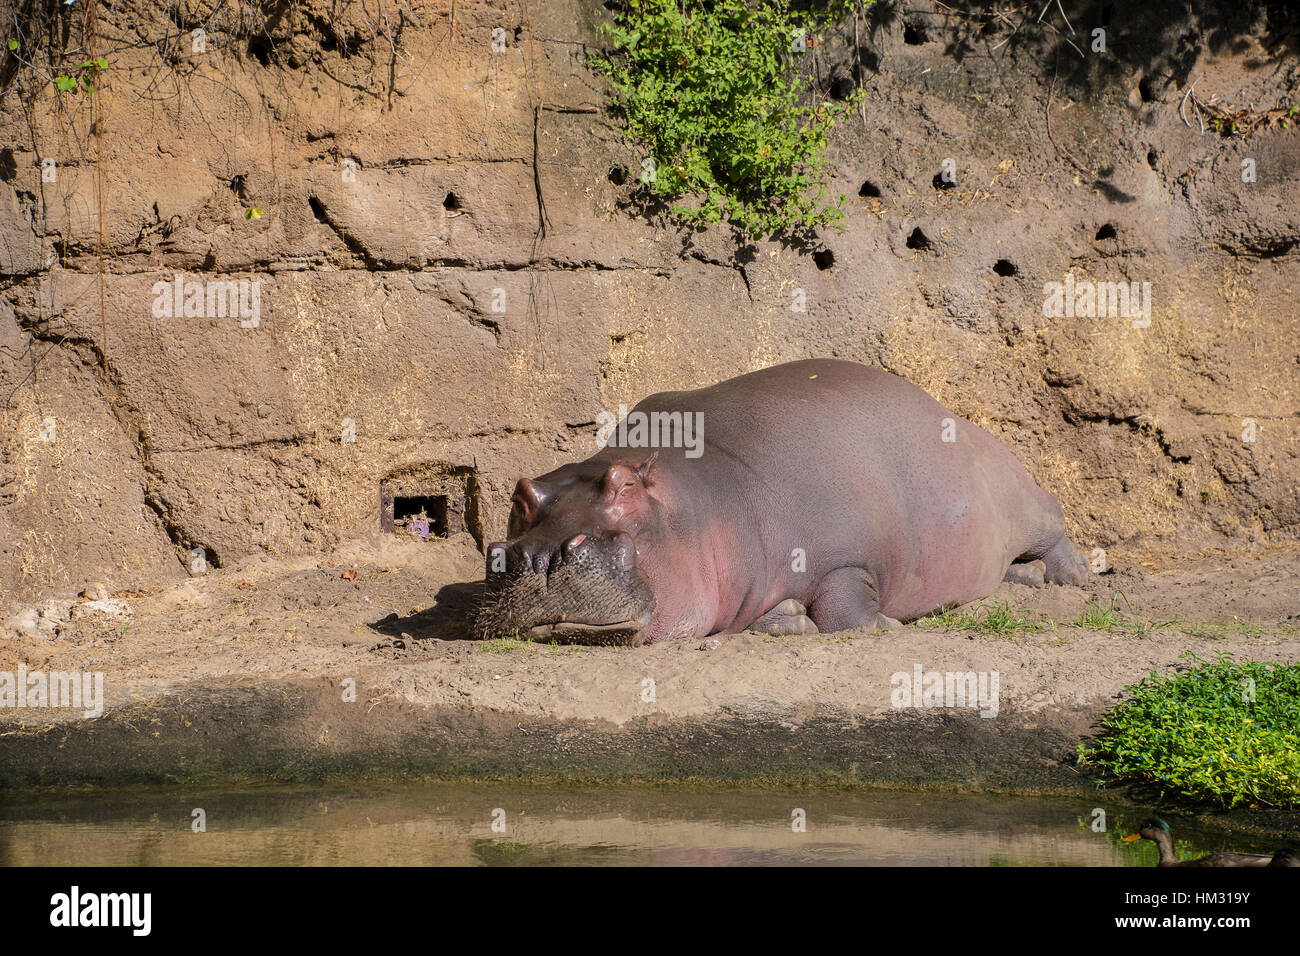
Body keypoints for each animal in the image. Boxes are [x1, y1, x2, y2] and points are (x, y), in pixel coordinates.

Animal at [476, 359, 1088, 645]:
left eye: (625, 487)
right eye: (523, 494)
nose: (540, 556)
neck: (706, 497)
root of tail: (965, 421)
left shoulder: (843, 555)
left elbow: (844, 604)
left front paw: (885, 626)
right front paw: (789, 619)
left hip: (1025, 499)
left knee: (1053, 527)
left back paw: (1073, 576)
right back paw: (1027, 580)